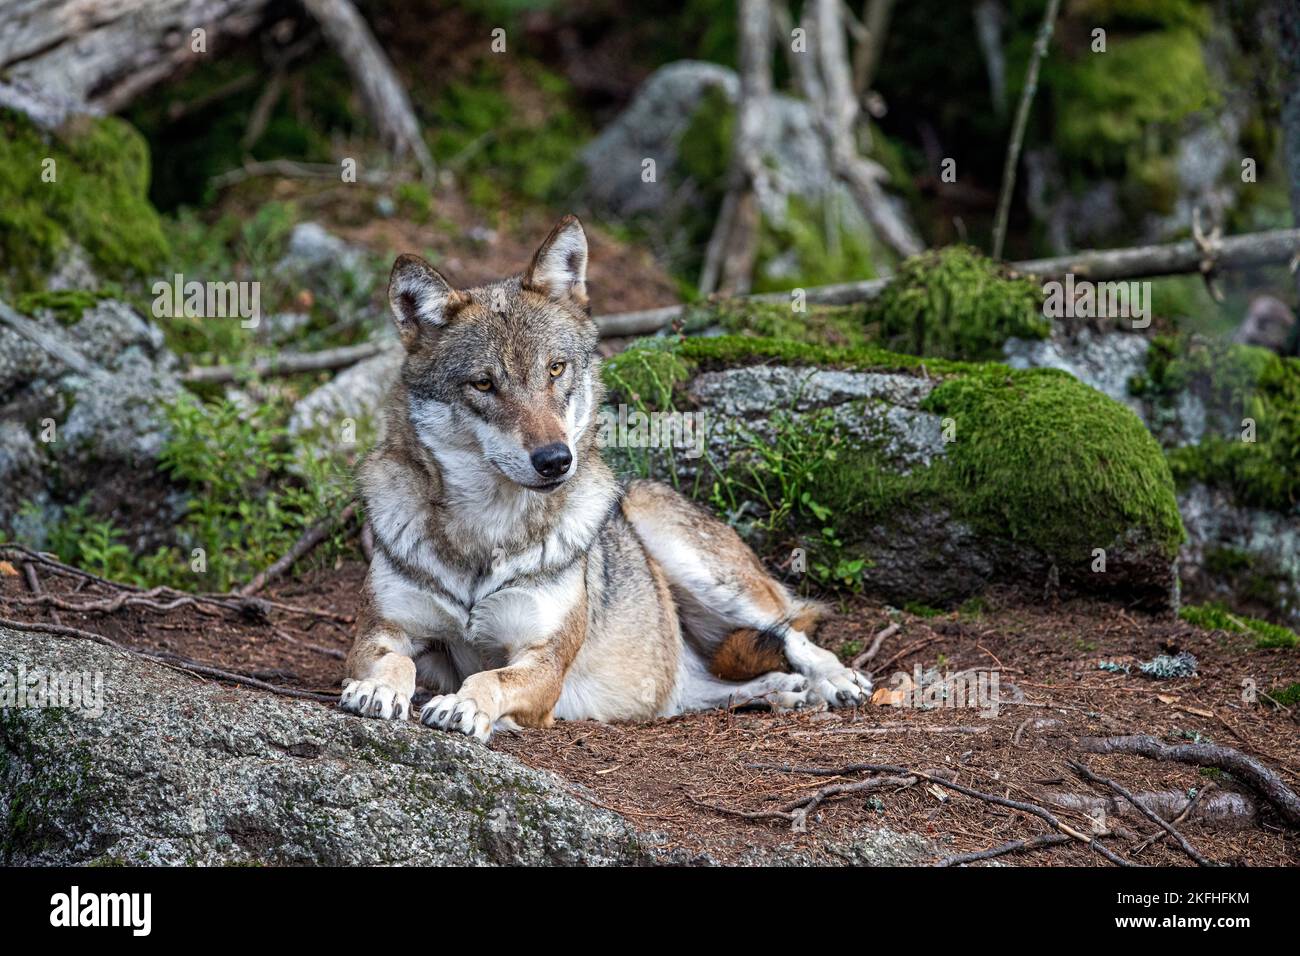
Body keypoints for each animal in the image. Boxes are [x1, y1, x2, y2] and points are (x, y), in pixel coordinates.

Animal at [340, 215, 871, 741]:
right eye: (484, 384)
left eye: (556, 369)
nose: (555, 460)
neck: (485, 534)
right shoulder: (381, 632)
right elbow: (395, 664)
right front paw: (376, 690)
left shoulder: (544, 664)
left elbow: (490, 678)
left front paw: (463, 707)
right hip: (685, 678)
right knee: (730, 686)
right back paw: (789, 693)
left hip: (693, 560)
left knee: (792, 631)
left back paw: (836, 681)